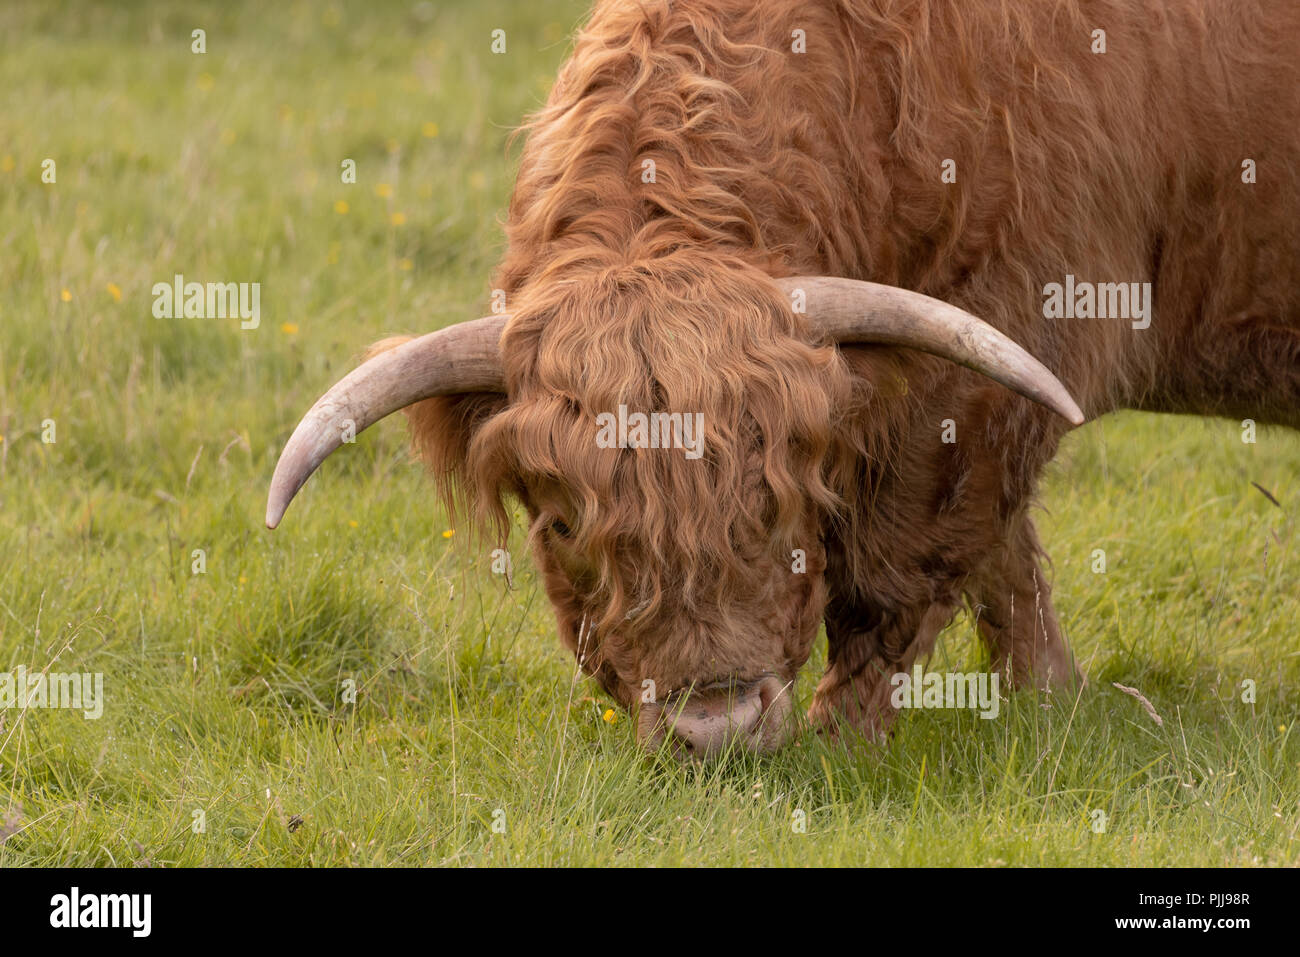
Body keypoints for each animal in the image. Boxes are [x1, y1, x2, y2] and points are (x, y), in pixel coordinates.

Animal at [266, 0, 1299, 760]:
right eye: (562, 523)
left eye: (784, 498)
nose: (713, 723)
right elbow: (1006, 566)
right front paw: (1057, 699)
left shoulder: (997, 360)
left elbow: (905, 564)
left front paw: (844, 742)